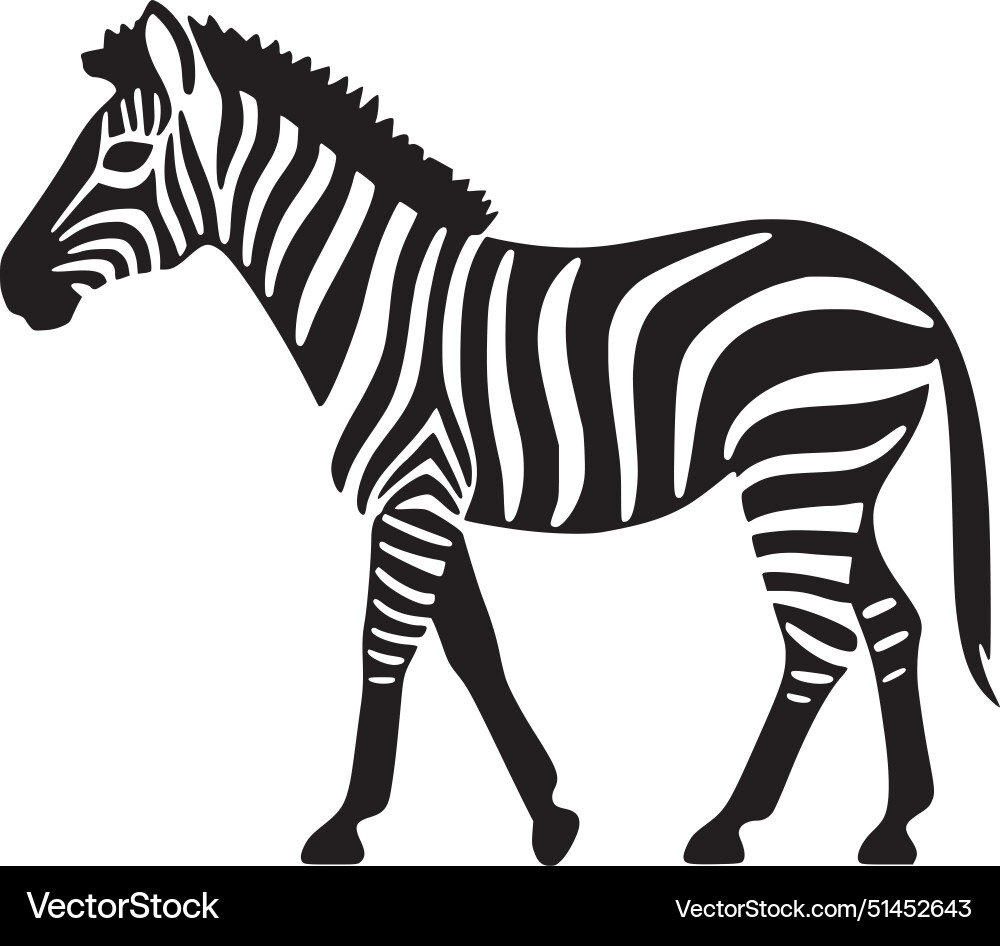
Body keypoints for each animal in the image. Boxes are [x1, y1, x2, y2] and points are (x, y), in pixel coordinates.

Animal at [0, 2, 993, 866]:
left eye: (123, 157)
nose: (14, 284)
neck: (374, 301)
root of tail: (909, 289)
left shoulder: (414, 493)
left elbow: (388, 644)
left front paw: (346, 825)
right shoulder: (432, 500)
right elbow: (474, 650)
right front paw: (551, 817)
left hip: (799, 473)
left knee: (819, 640)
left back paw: (726, 828)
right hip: (838, 482)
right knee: (891, 620)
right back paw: (895, 827)